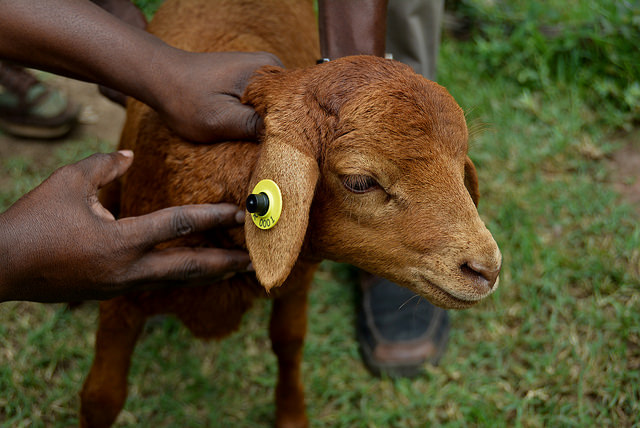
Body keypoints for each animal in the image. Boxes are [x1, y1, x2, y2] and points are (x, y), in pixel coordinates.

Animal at [79, 0, 502, 427]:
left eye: (459, 165)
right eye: (360, 181)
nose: (486, 269)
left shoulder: (296, 283)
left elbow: (289, 343)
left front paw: (291, 412)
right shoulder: (122, 302)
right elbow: (102, 397)